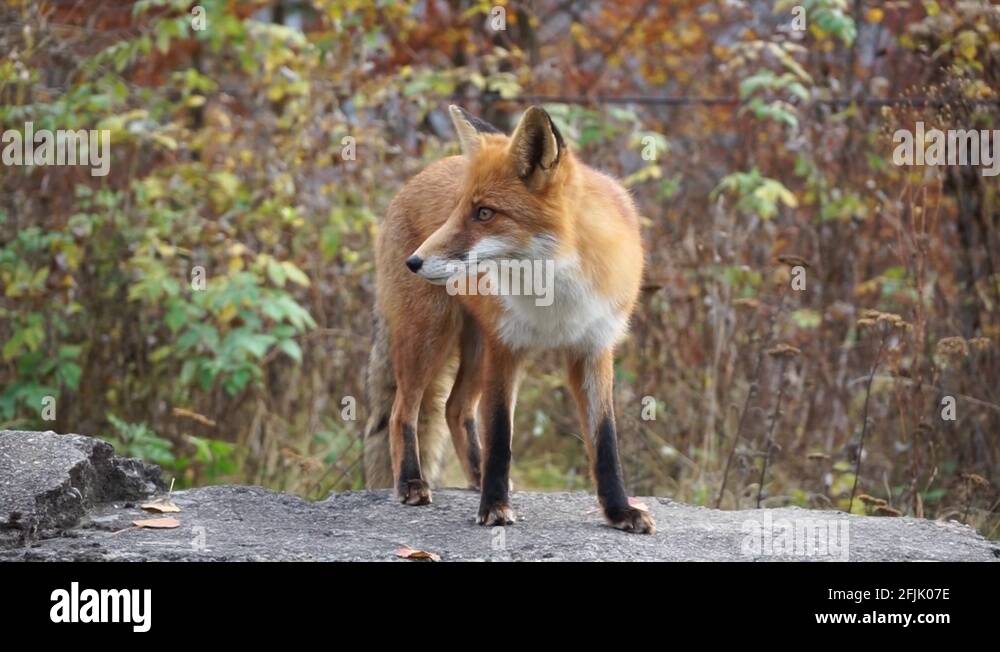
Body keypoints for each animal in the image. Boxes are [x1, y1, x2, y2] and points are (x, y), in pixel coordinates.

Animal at [363, 104, 654, 533]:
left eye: (485, 213)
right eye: (457, 210)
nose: (413, 262)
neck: (555, 292)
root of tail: (417, 177)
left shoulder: (594, 348)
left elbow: (605, 441)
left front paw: (619, 510)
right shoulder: (507, 346)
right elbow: (500, 434)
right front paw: (495, 508)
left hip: (473, 346)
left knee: (455, 409)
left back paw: (476, 476)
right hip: (429, 337)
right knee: (404, 411)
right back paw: (412, 482)